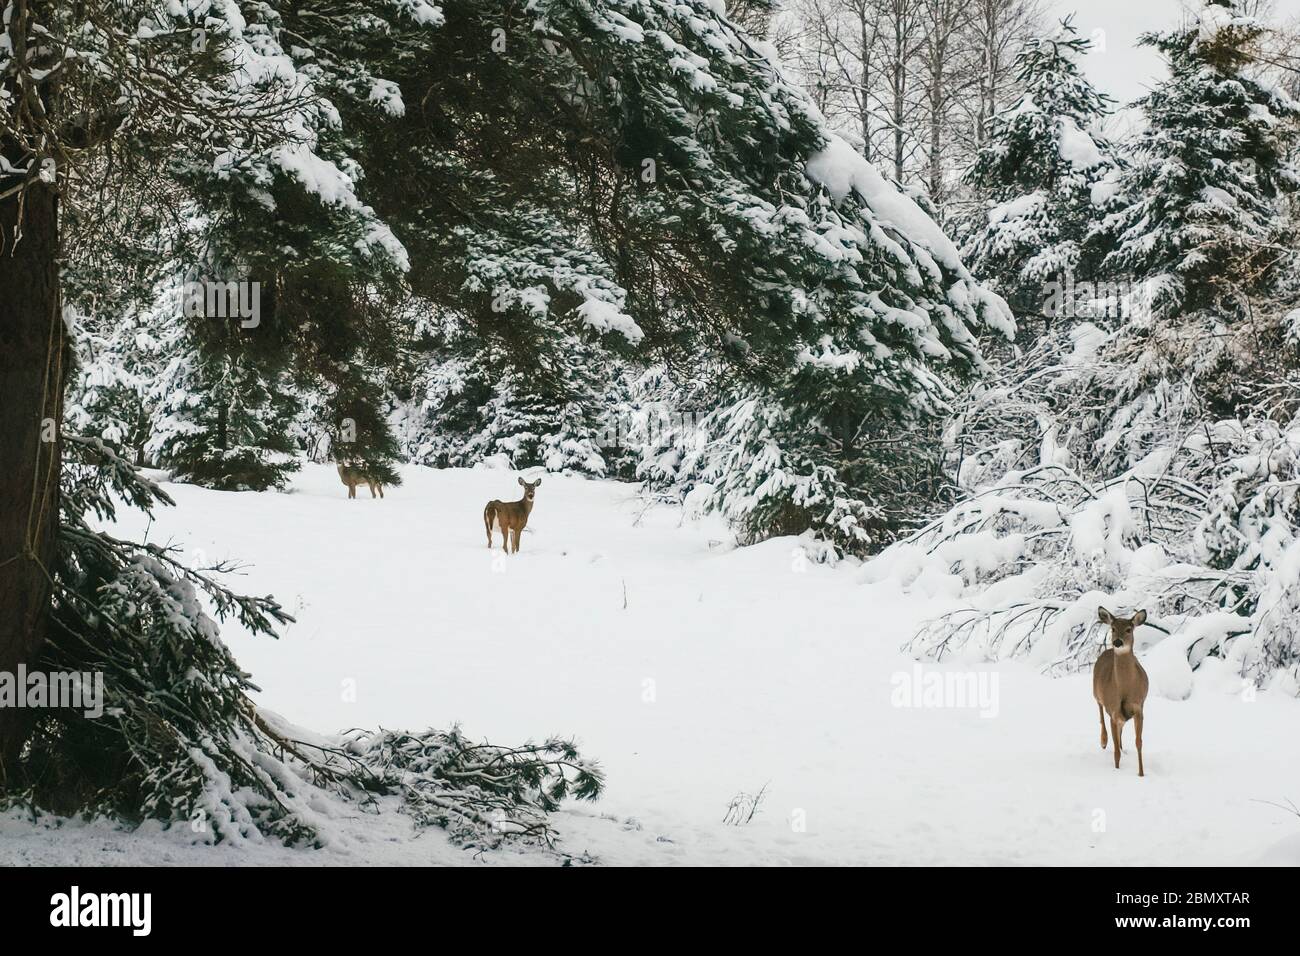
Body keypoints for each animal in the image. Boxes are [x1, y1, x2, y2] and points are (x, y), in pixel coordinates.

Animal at [1093, 606, 1150, 777]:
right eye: (1112, 628)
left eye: (1128, 629)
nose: (1117, 642)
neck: (1125, 689)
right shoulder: (1113, 710)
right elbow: (1116, 751)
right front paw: (1117, 770)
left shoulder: (1139, 707)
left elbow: (1139, 742)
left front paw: (1141, 774)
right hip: (1096, 693)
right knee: (1100, 712)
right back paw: (1103, 741)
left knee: (1120, 731)